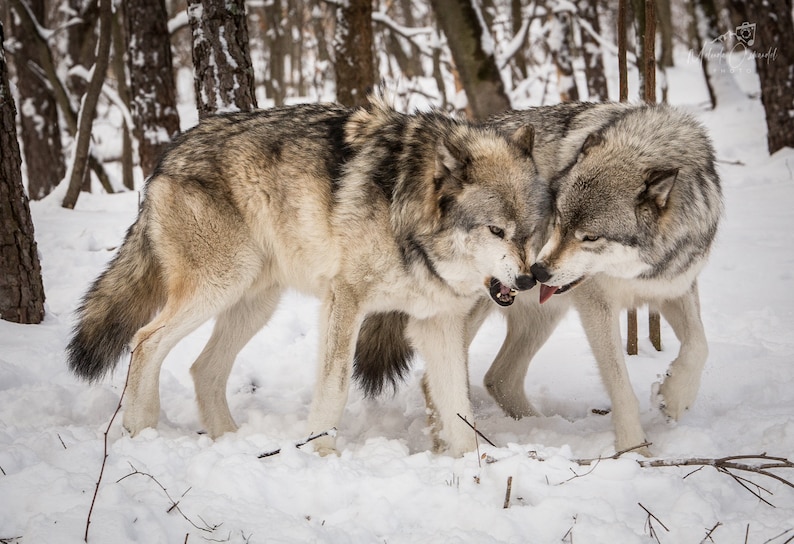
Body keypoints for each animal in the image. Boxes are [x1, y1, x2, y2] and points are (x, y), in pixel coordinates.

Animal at [65, 96, 541, 456]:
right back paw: (140, 429)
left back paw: (232, 442)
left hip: (254, 304)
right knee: (145, 340)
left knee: (202, 367)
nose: (527, 281)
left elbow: (457, 401)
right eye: (495, 230)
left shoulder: (436, 321)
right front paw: (322, 455)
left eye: (527, 231)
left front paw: (474, 467)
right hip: (220, 285)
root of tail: (169, 154)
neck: (408, 219)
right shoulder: (345, 300)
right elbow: (335, 388)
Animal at [355, 102, 723, 455]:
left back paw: (543, 431)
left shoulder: (675, 284)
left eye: (590, 237)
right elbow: (621, 389)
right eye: (557, 219)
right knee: (437, 381)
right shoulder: (596, 307)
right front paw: (635, 451)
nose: (539, 272)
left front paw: (675, 398)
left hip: (543, 314)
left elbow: (699, 346)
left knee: (498, 378)